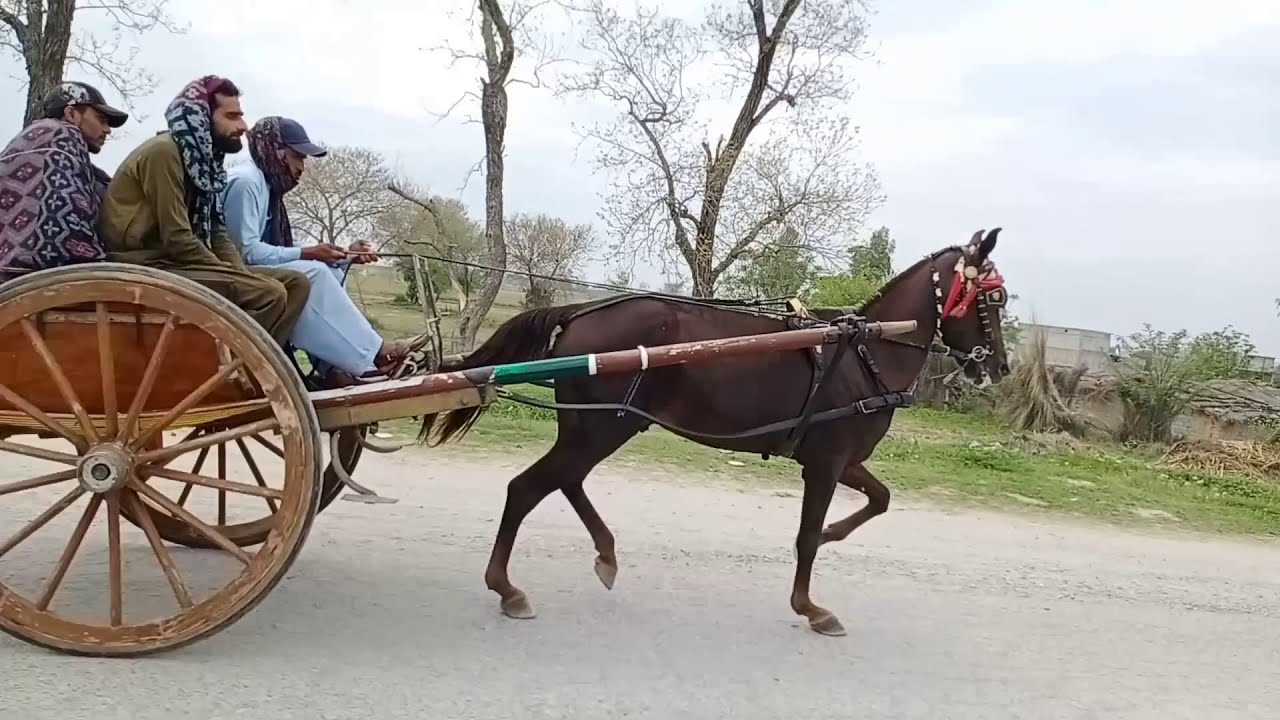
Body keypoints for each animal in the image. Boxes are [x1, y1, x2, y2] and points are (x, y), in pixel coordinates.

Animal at [420, 229, 1012, 636]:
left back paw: (604, 555)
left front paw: (832, 535)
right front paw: (811, 607)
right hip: (602, 429)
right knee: (528, 488)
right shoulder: (824, 465)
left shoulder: (842, 460)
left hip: (600, 426)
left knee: (564, 481)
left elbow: (880, 500)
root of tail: (581, 313)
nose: (1000, 367)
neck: (863, 352)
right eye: (993, 299)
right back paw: (507, 588)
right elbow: (806, 538)